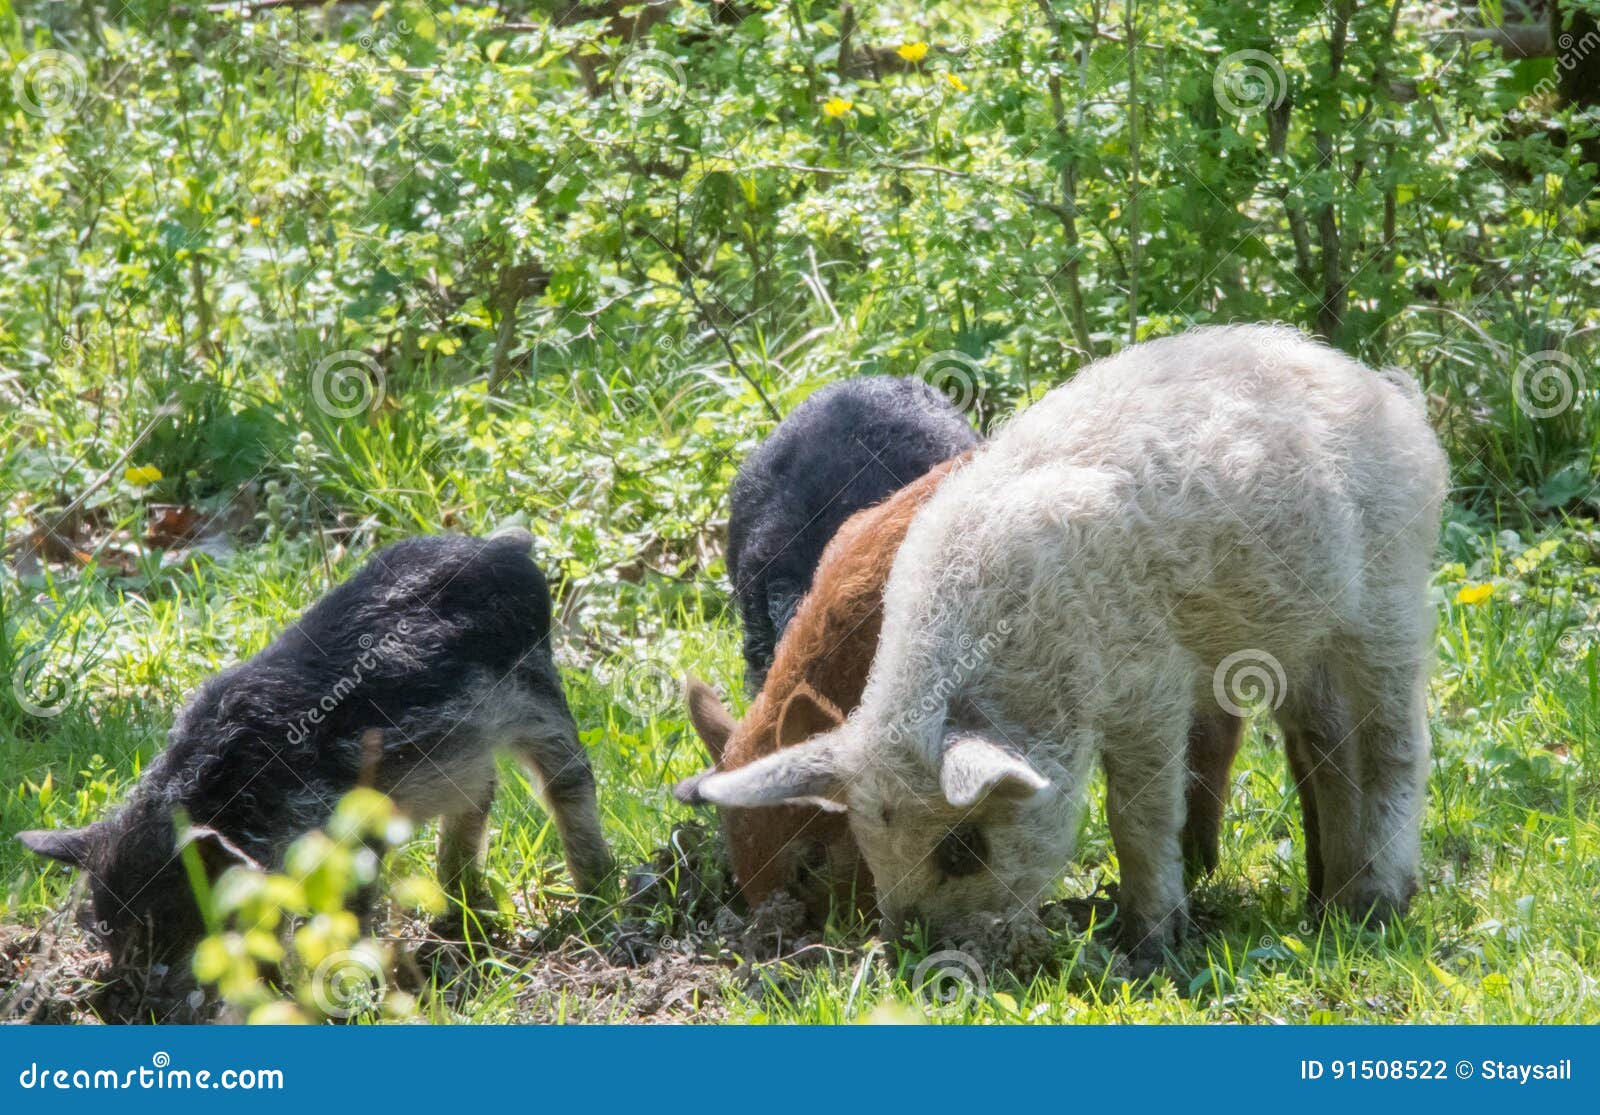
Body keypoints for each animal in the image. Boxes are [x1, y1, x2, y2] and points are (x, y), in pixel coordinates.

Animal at [18, 532, 613, 963]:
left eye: (172, 914)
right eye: (105, 929)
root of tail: (509, 547)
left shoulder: (357, 820)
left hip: (540, 696)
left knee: (567, 782)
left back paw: (598, 905)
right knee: (482, 793)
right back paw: (459, 919)